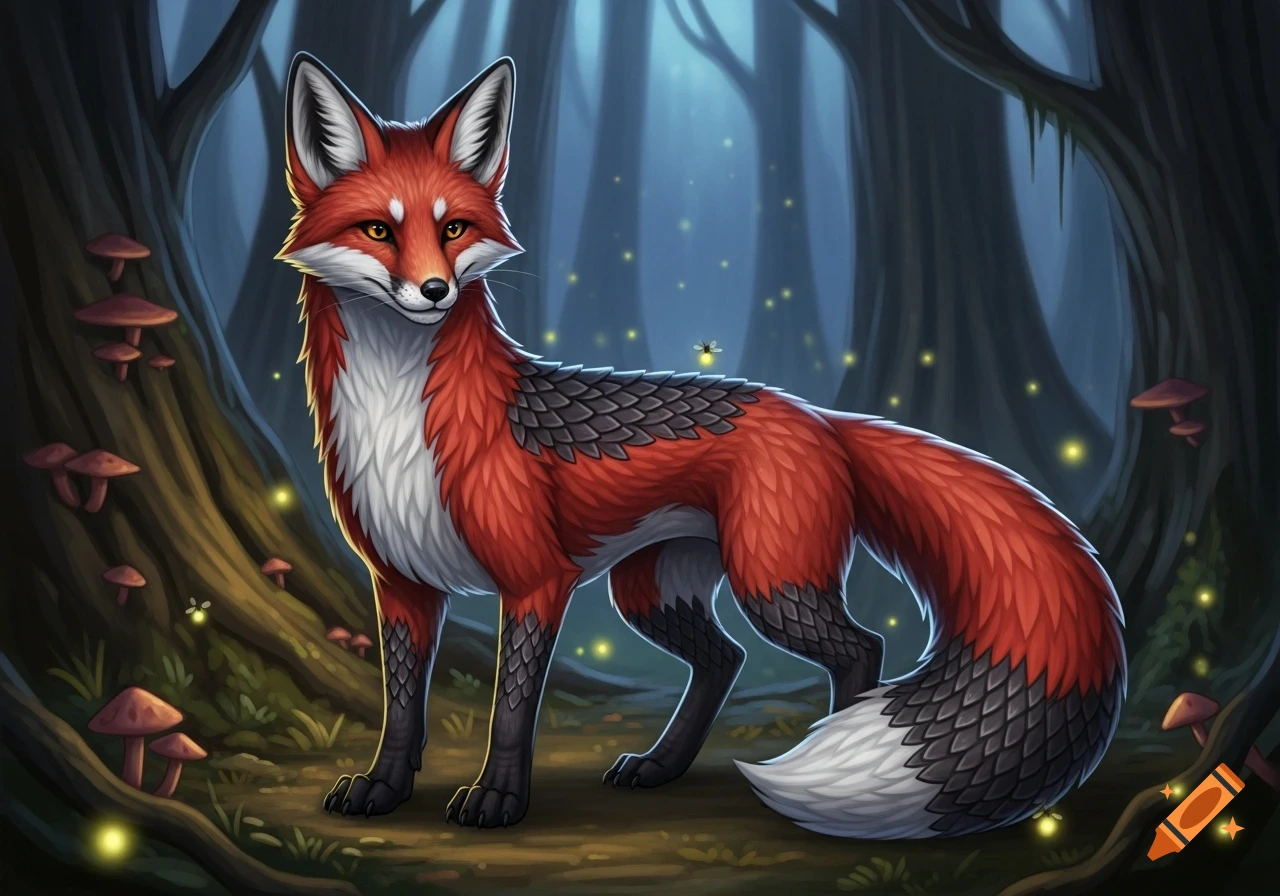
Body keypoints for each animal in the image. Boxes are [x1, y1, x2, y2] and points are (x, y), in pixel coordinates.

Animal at [278, 53, 1126, 837]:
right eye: (379, 230)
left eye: (452, 228)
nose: (434, 292)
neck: (397, 426)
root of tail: (814, 412)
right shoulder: (401, 585)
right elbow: (400, 707)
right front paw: (383, 789)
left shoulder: (536, 580)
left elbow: (511, 711)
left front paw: (498, 799)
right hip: (652, 590)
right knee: (726, 661)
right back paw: (662, 765)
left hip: (771, 582)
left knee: (860, 648)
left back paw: (826, 768)